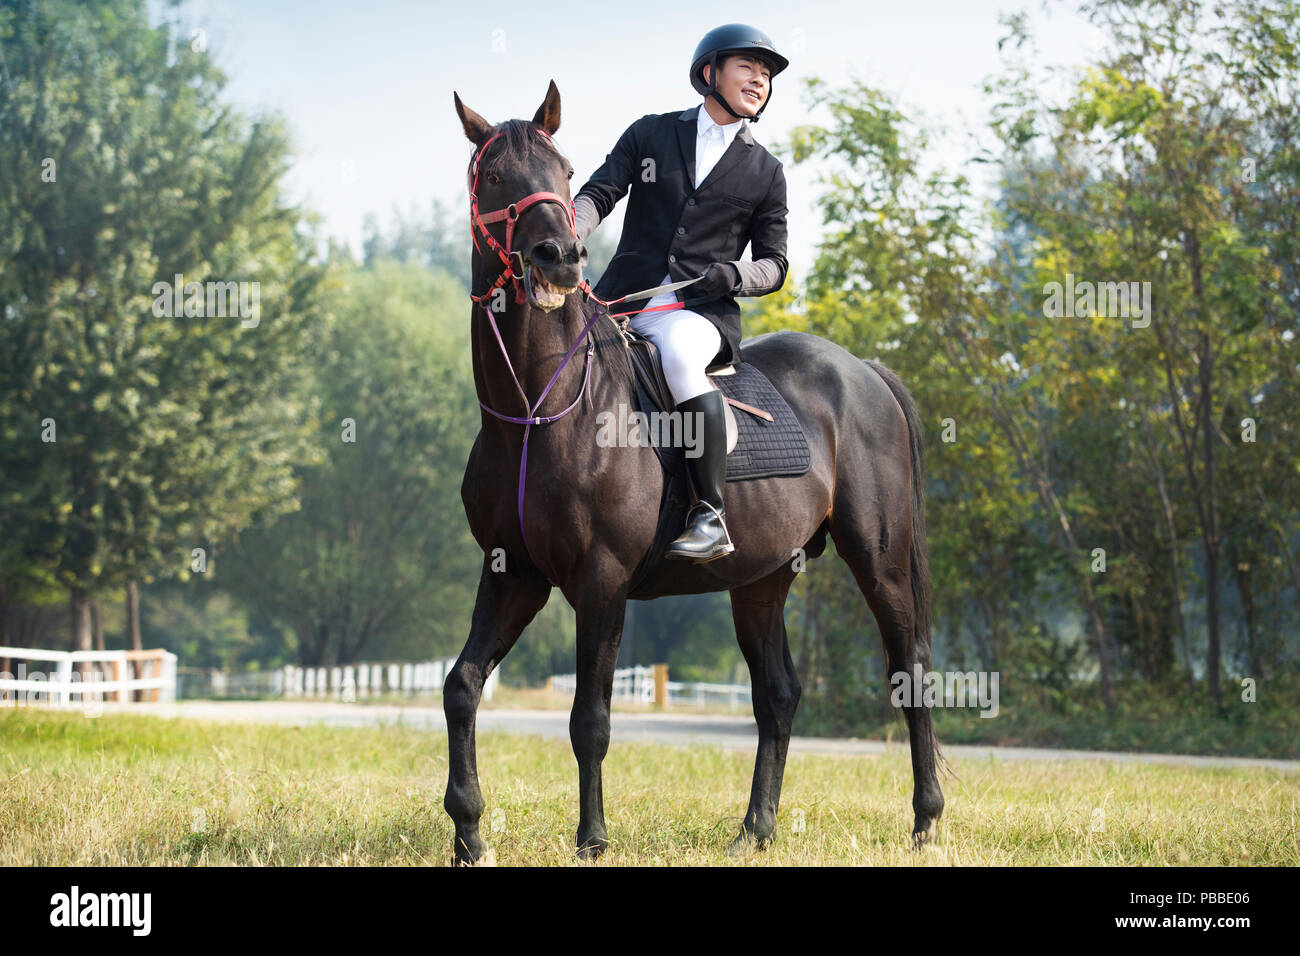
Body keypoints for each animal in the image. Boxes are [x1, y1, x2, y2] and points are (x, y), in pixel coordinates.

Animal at [444, 80, 943, 864]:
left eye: (563, 168)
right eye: (494, 175)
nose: (560, 256)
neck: (537, 409)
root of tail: (863, 370)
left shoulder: (602, 580)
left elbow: (589, 718)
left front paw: (592, 839)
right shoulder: (512, 573)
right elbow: (461, 686)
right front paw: (468, 830)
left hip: (880, 560)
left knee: (911, 668)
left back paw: (924, 822)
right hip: (762, 577)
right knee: (778, 695)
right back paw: (755, 830)